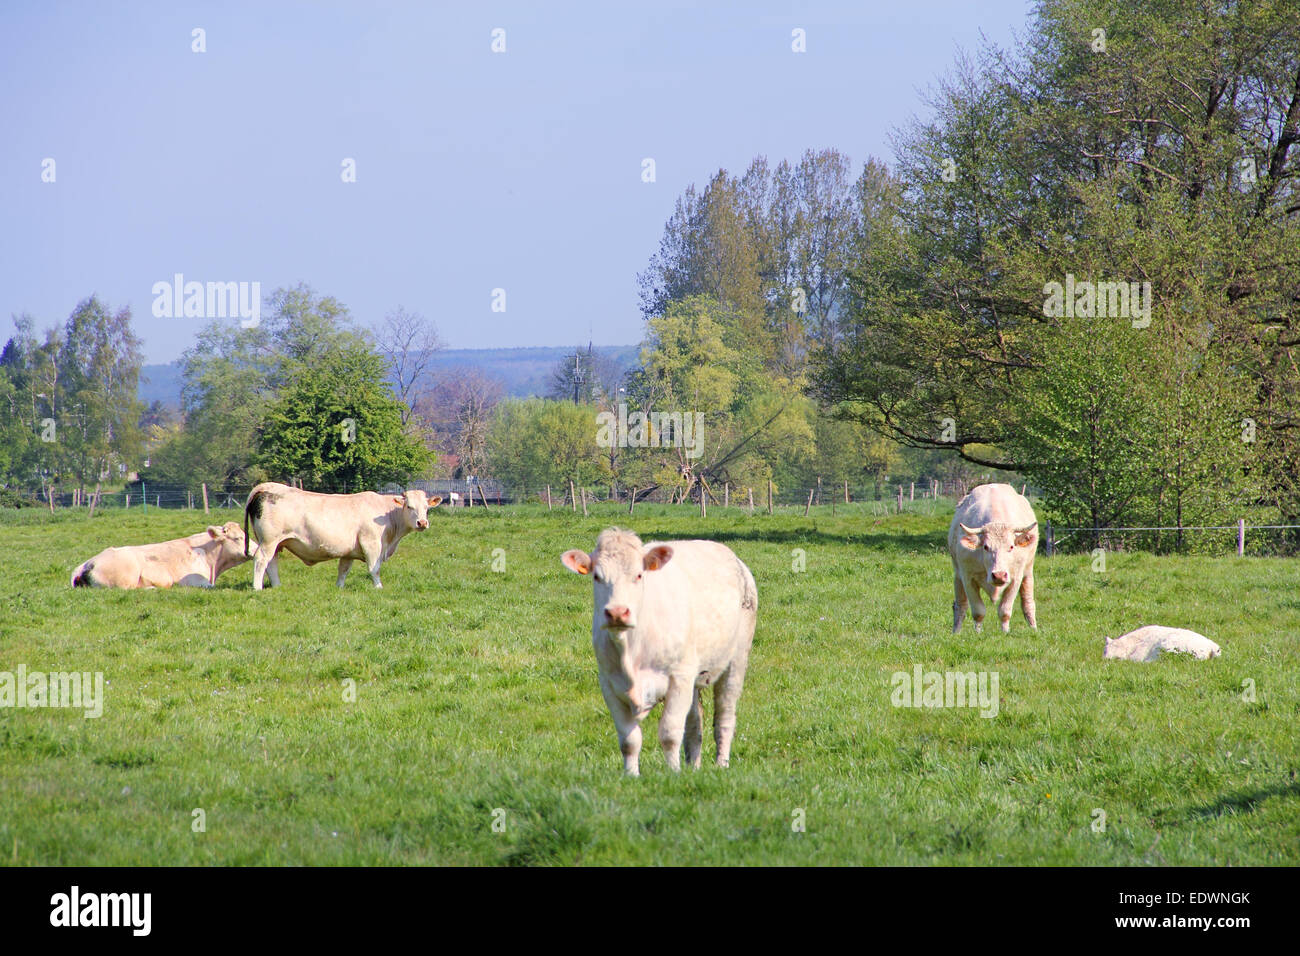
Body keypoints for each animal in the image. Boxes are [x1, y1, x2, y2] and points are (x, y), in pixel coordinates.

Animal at [243, 482, 440, 590]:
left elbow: (343, 570)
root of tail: (268, 487)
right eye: (409, 506)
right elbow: (374, 569)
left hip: (275, 543)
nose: (422, 523)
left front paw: (339, 588)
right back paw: (257, 587)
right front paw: (378, 587)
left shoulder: (349, 551)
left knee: (272, 563)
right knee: (261, 560)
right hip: (269, 541)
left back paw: (277, 586)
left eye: (426, 508)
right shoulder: (371, 543)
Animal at [560, 528, 757, 776]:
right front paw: (631, 775)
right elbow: (629, 740)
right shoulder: (608, 684)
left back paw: (722, 763)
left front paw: (673, 772)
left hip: (736, 660)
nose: (617, 612)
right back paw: (693, 766)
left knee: (724, 716)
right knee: (694, 725)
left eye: (639, 575)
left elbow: (670, 733)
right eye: (596, 576)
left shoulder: (678, 678)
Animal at [948, 483, 1039, 633]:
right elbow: (978, 612)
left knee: (1028, 604)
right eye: (985, 547)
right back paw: (956, 632)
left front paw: (1005, 632)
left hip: (1028, 572)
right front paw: (977, 633)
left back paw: (1034, 629)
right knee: (960, 606)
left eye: (1011, 546)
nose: (999, 575)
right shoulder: (967, 577)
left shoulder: (1016, 578)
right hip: (957, 575)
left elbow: (1005, 611)